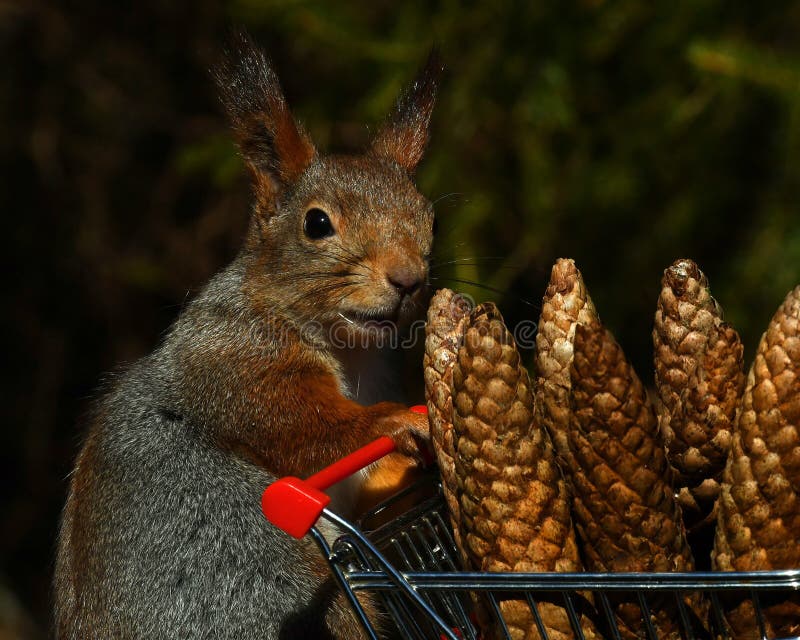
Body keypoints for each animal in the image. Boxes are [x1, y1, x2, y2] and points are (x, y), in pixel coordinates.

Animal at [54, 33, 442, 639]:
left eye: (428, 217)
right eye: (316, 224)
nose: (408, 279)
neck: (350, 352)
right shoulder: (235, 360)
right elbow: (300, 425)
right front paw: (395, 422)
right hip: (242, 555)